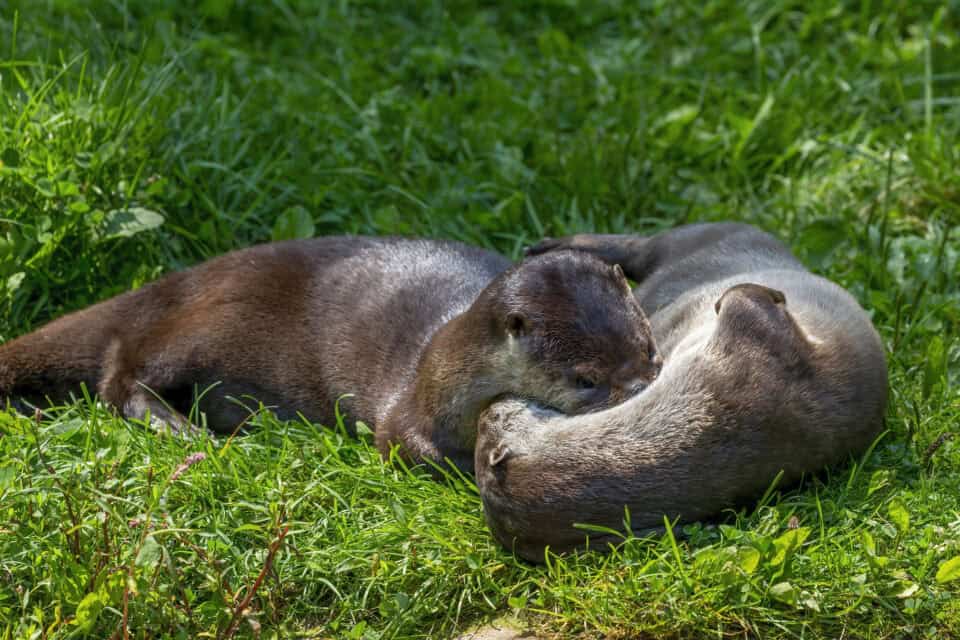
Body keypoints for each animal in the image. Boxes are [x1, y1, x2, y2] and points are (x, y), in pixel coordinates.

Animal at [0, 236, 660, 472]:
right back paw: (183, 430)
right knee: (120, 372)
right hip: (206, 326)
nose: (642, 387)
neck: (446, 361)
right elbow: (402, 444)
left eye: (649, 349)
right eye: (585, 379)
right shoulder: (412, 407)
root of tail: (181, 280)